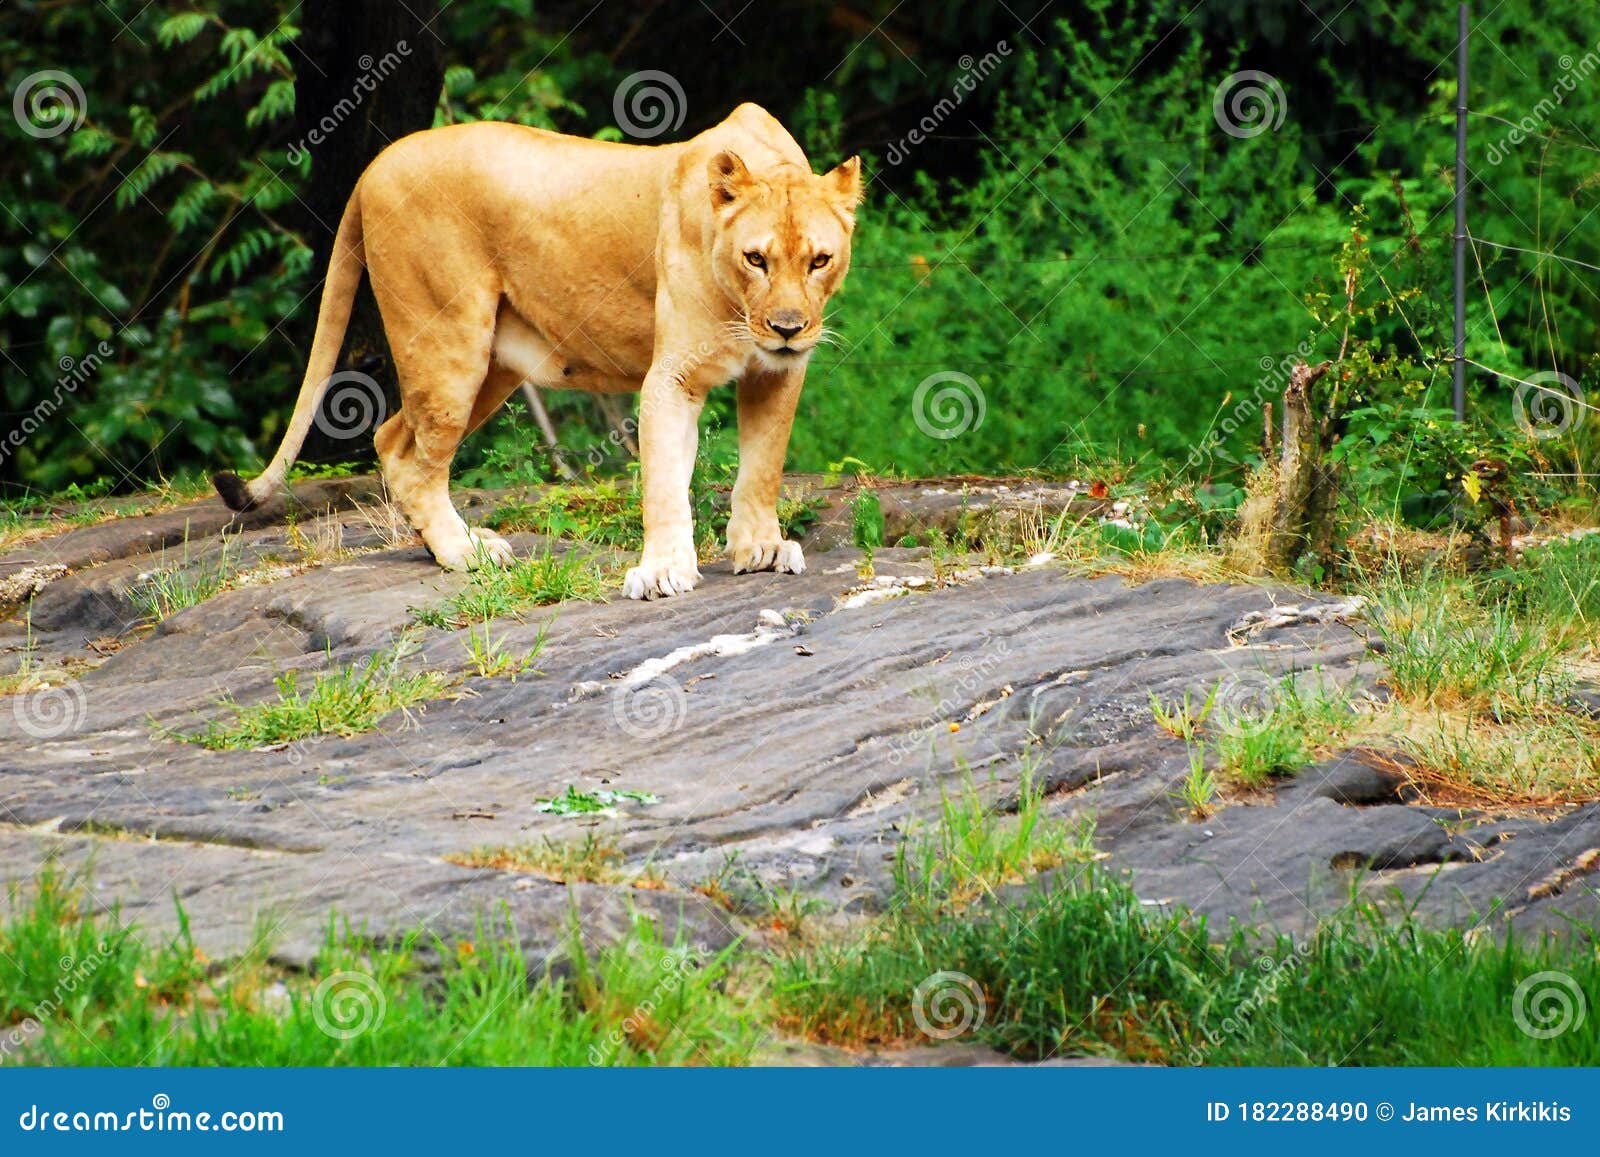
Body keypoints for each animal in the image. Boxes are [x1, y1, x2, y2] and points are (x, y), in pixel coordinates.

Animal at [213, 102, 862, 599]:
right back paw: (465, 554)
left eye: (819, 260)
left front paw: (760, 547)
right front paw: (661, 572)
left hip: (490, 365)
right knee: (416, 458)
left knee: (394, 439)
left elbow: (763, 464)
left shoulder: (778, 374)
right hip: (449, 345)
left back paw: (449, 545)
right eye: (756, 259)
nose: (786, 328)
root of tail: (378, 161)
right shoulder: (672, 376)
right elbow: (664, 481)